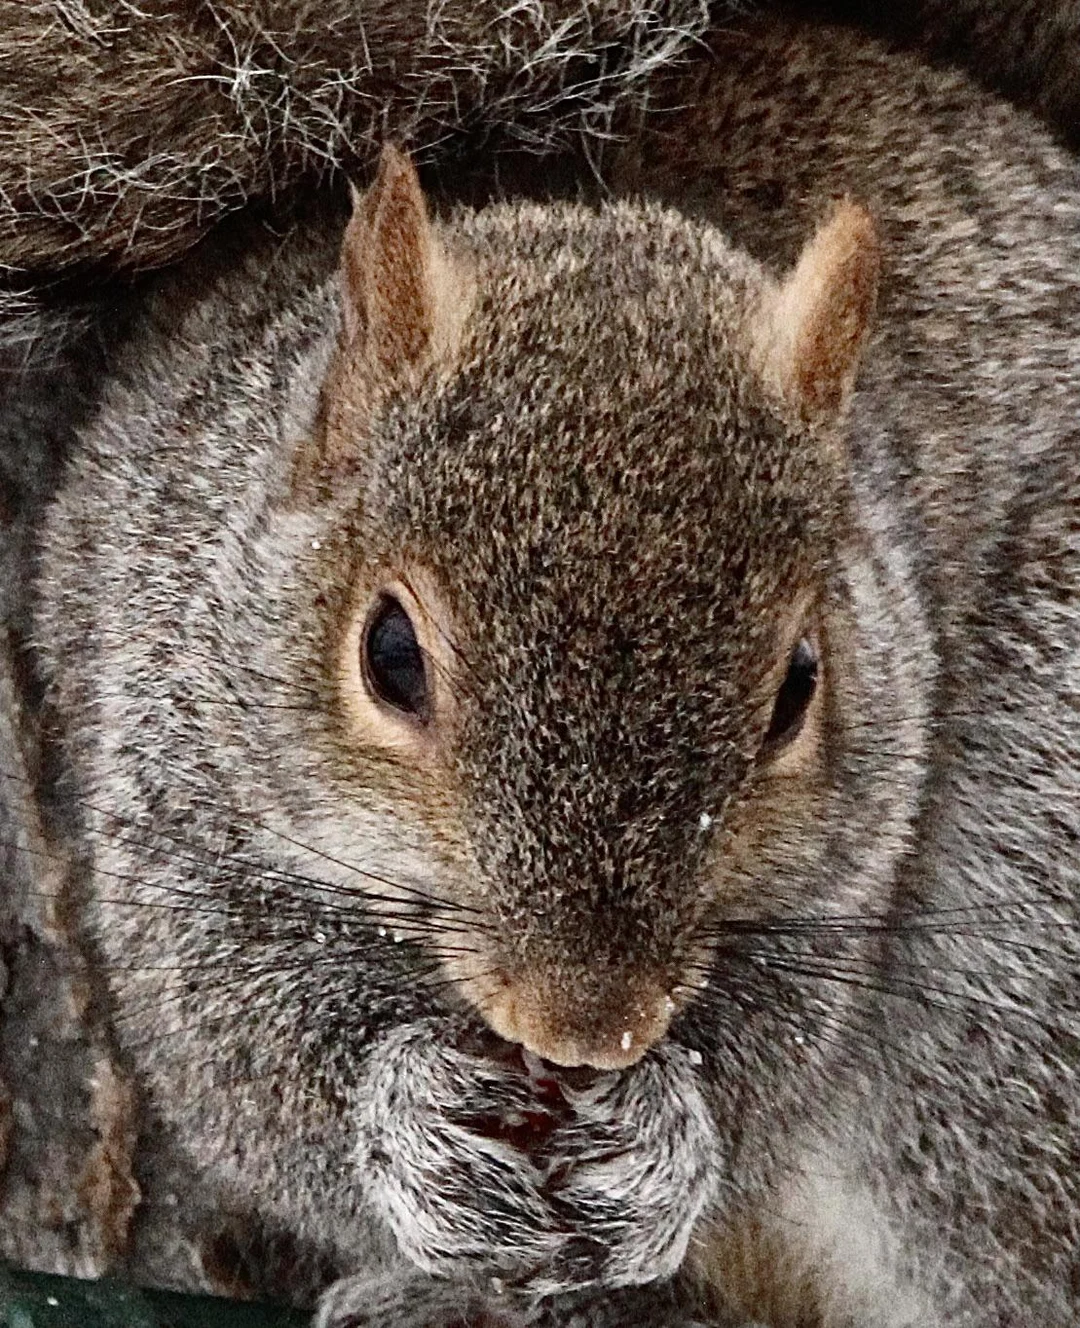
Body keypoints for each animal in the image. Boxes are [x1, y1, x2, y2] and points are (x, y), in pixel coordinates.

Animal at [26, 4, 1080, 1323]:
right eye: (389, 657)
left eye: (799, 686)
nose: (590, 1028)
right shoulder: (166, 767)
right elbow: (245, 1060)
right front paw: (414, 1129)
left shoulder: (848, 865)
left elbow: (778, 1049)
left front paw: (661, 1141)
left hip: (1012, 930)